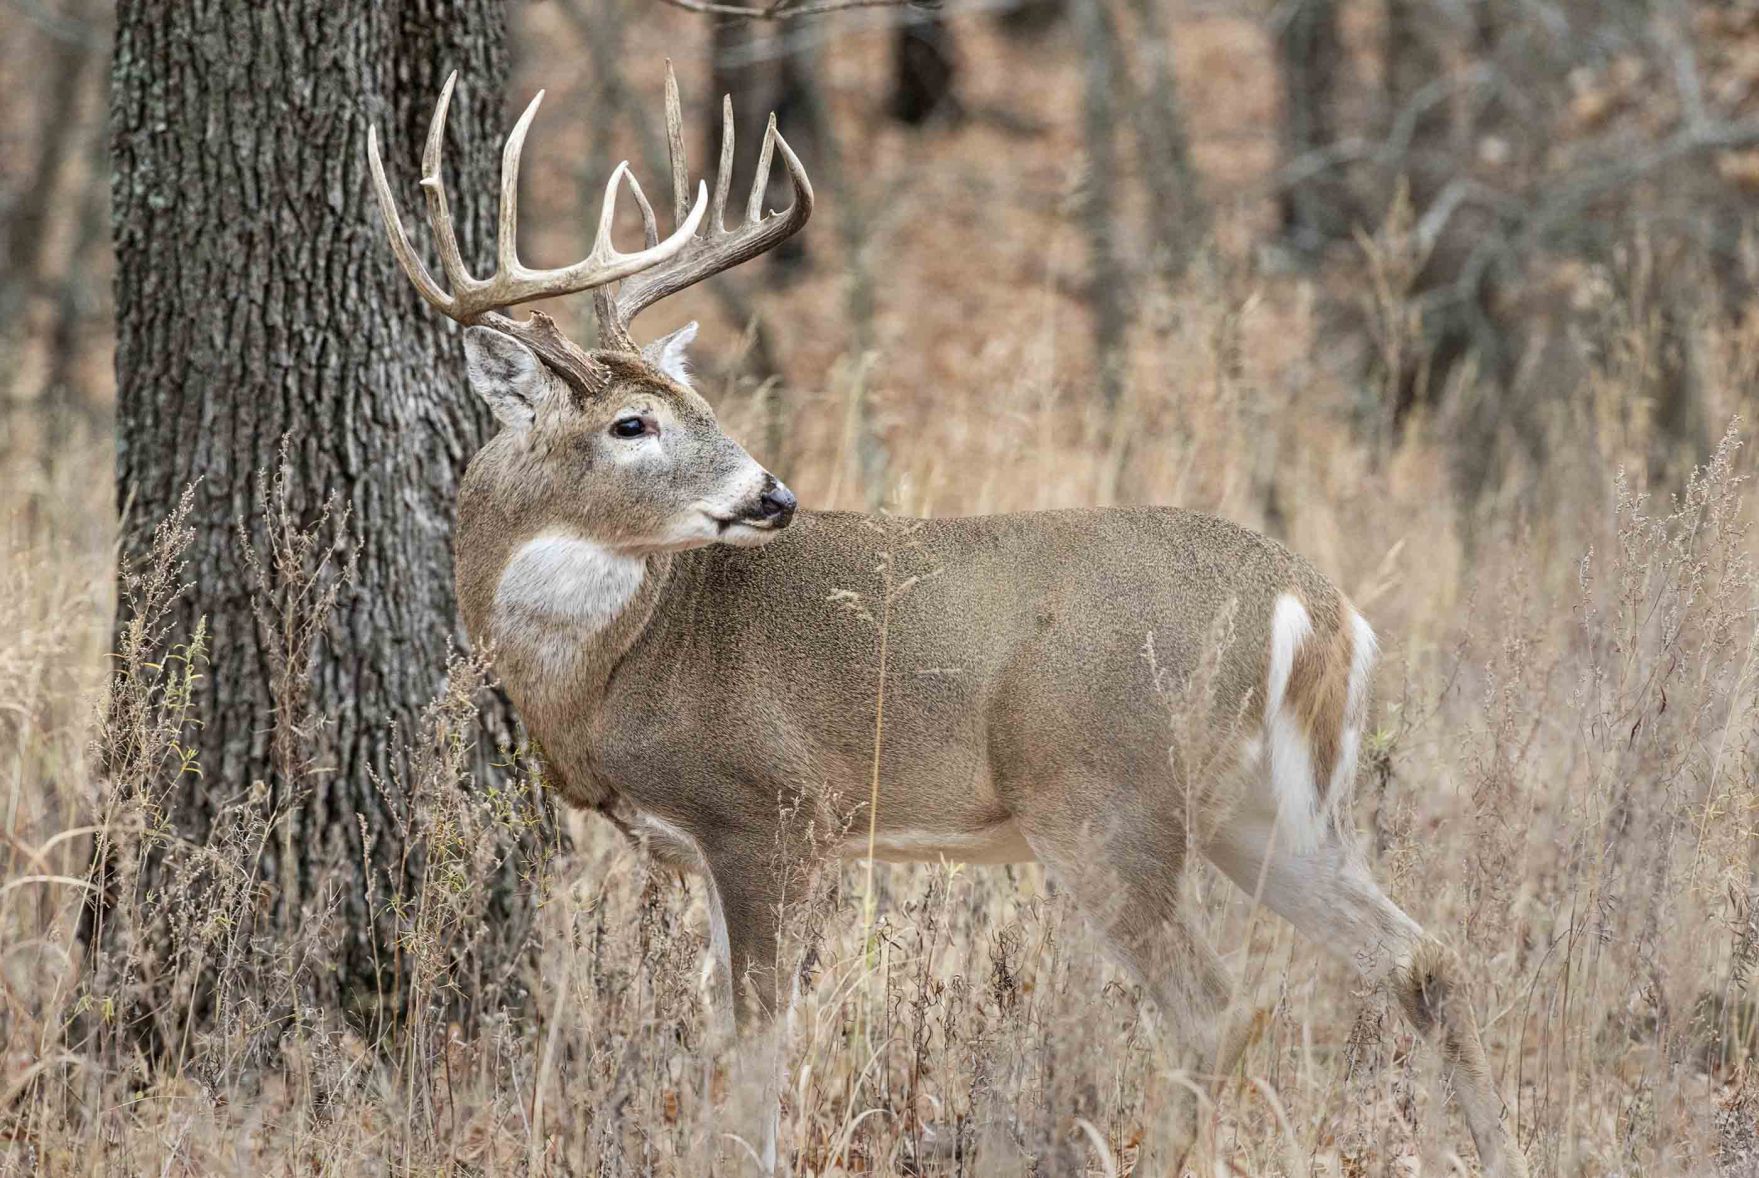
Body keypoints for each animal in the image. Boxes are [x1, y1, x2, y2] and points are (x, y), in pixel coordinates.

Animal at [366, 68, 1529, 1178]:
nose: (773, 496)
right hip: (1268, 808)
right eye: (633, 422)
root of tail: (1314, 607)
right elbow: (724, 1043)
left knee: (1217, 1007)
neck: (618, 661)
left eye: (694, 409)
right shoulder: (712, 848)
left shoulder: (774, 812)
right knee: (1421, 958)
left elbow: (757, 1050)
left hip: (1105, 798)